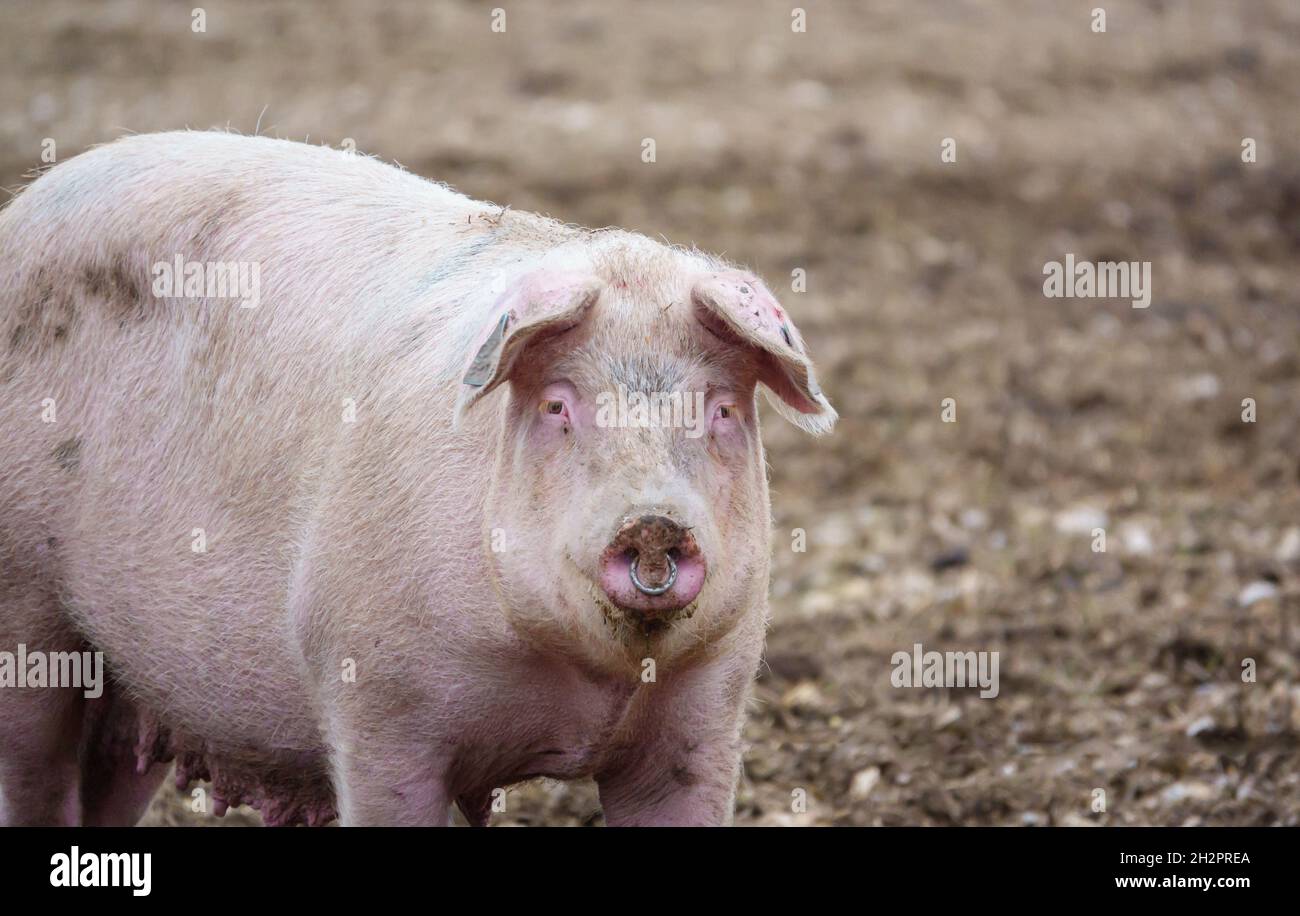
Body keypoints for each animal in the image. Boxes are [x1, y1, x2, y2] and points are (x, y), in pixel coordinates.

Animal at [0, 131, 835, 826]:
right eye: (558, 406)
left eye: (721, 409)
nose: (654, 520)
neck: (585, 689)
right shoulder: (375, 705)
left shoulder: (704, 714)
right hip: (25, 611)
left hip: (128, 678)